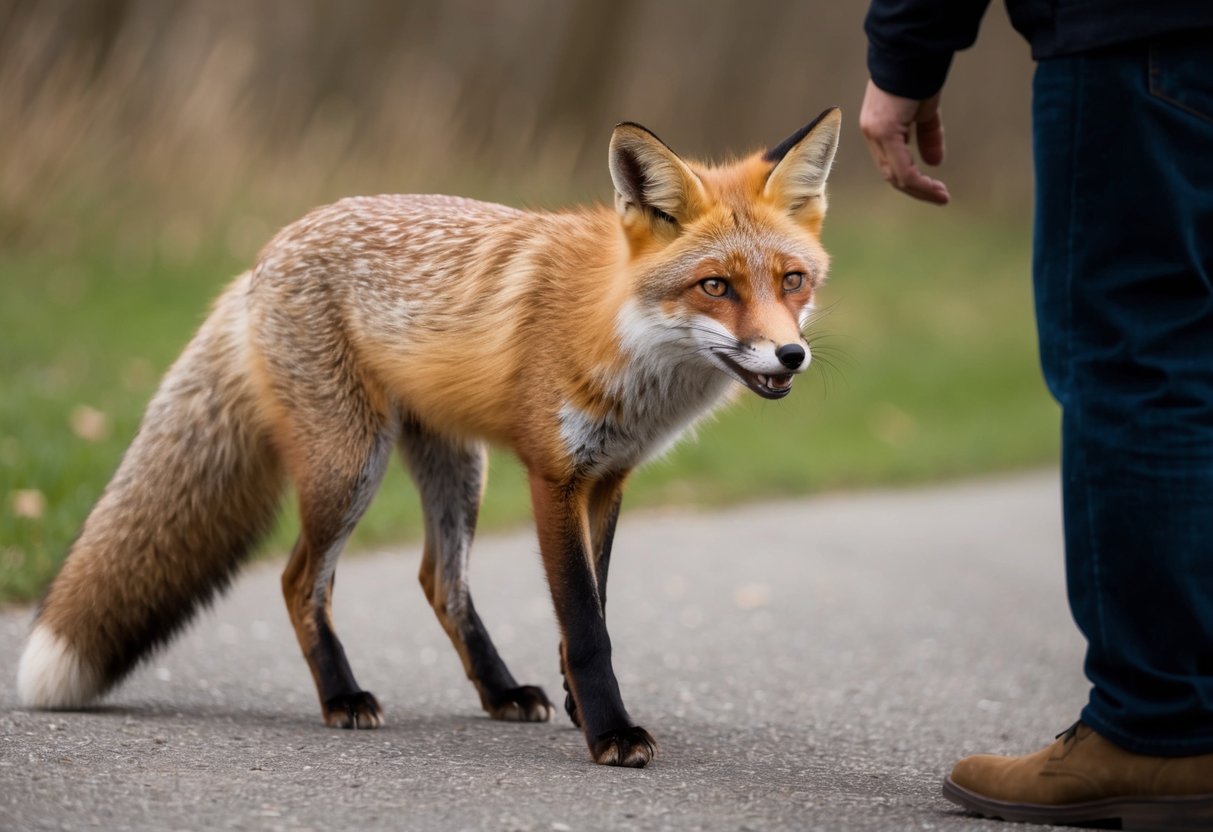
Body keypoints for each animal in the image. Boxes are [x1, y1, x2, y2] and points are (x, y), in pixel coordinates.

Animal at [17, 108, 841, 767]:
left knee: (439, 581)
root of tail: (266, 254)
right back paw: (343, 697)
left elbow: (596, 611)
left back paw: (500, 690)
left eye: (792, 280)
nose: (789, 355)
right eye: (715, 286)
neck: (623, 337)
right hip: (350, 464)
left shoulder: (609, 478)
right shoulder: (554, 475)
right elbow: (585, 624)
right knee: (300, 580)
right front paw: (609, 732)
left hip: (456, 467)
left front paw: (584, 707)